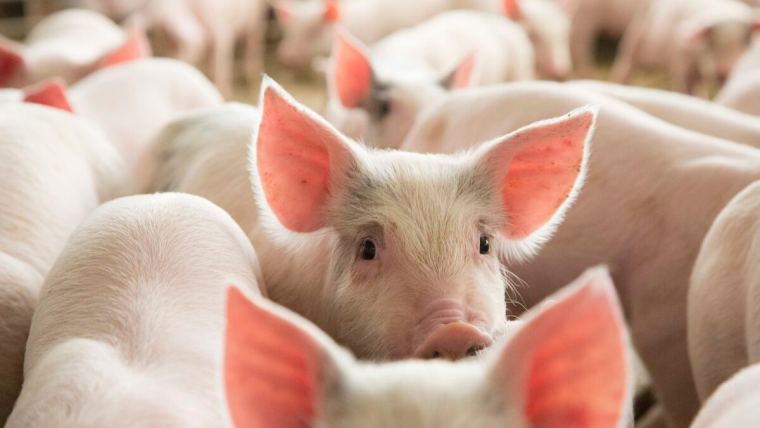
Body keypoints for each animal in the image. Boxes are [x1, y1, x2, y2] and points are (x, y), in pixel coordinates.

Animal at [612, 0, 758, 95]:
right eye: (712, 42)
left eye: (747, 41)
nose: (726, 69)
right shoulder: (682, 67)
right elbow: (686, 90)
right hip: (634, 40)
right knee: (624, 68)